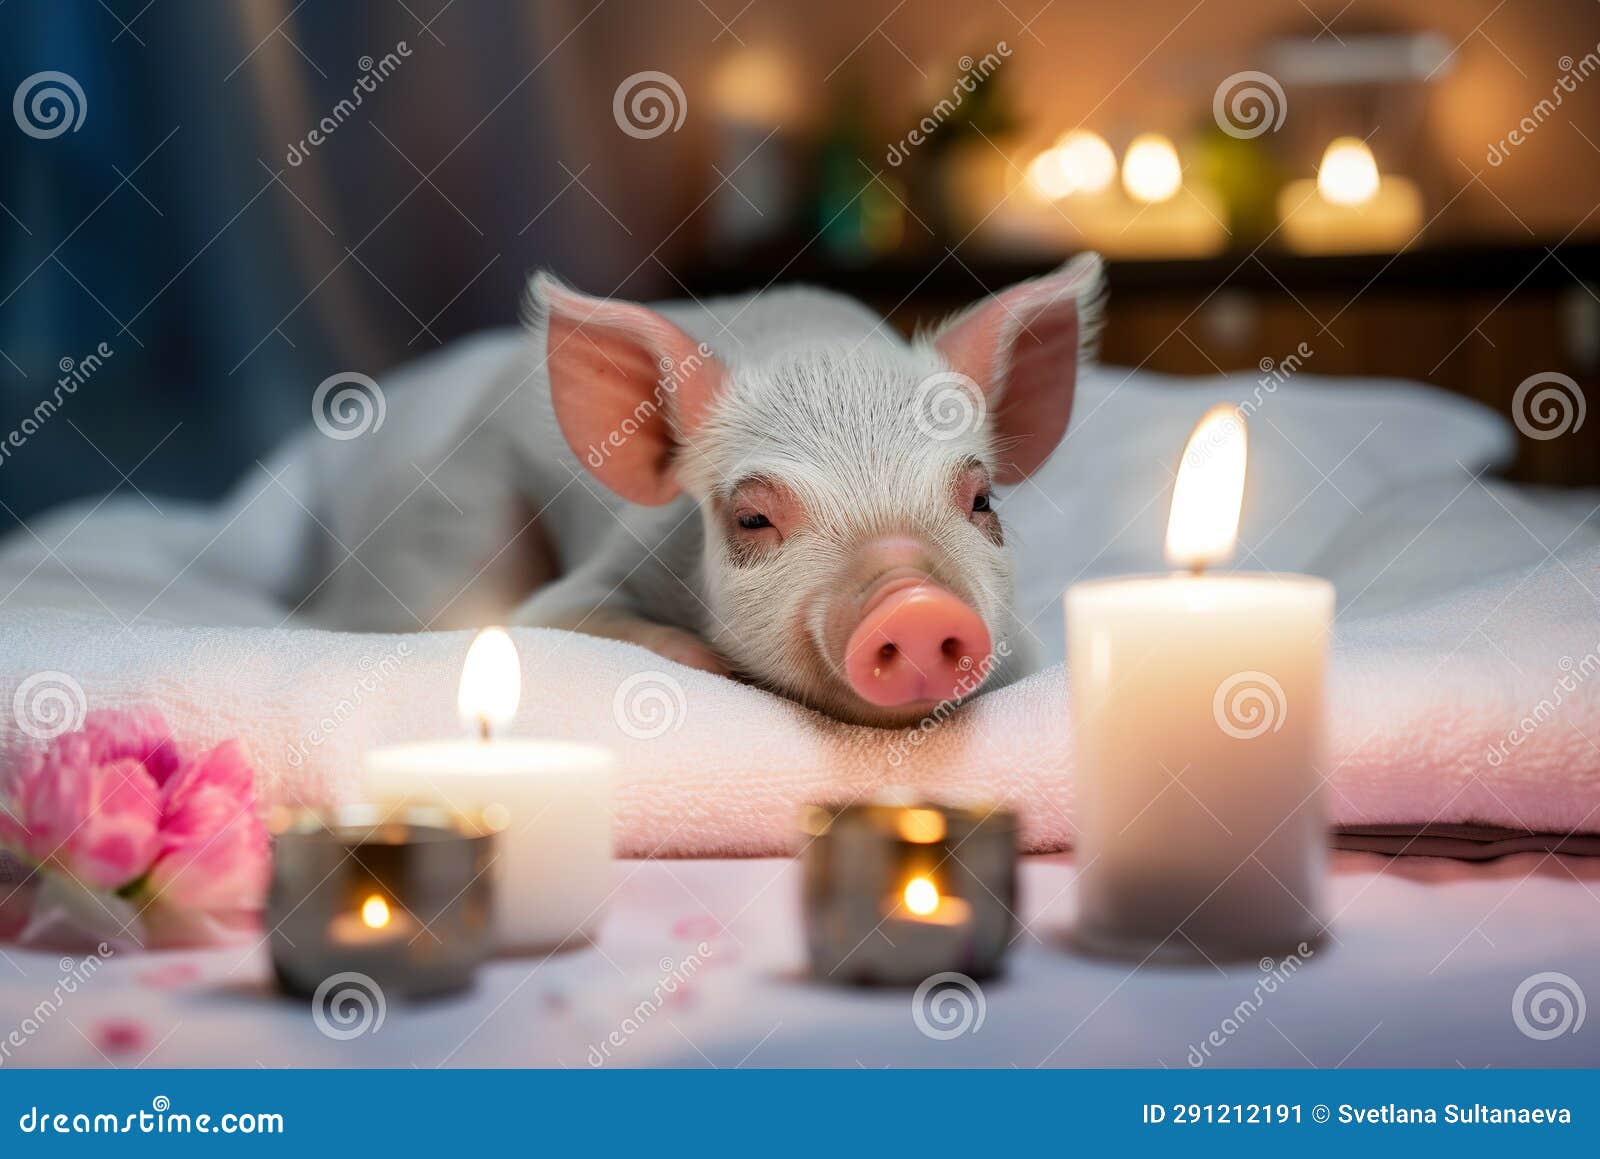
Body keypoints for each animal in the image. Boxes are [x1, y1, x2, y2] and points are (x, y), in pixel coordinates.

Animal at [310, 253, 1104, 727]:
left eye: (981, 501)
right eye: (752, 517)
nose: (913, 603)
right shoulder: (595, 574)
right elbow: (568, 617)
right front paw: (718, 669)